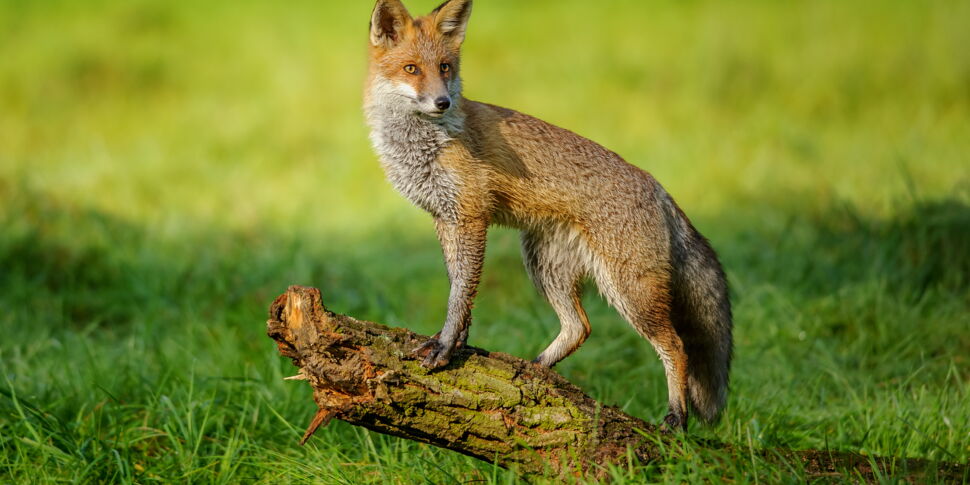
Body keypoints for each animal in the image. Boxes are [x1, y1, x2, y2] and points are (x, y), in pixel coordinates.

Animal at [363, 0, 733, 431]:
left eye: (445, 68)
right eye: (411, 69)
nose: (443, 103)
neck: (422, 143)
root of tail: (657, 186)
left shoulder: (470, 216)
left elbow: (460, 295)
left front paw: (445, 345)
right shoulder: (446, 217)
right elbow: (461, 289)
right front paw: (456, 345)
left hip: (628, 289)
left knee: (675, 345)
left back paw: (676, 416)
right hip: (545, 266)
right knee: (580, 327)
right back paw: (533, 370)